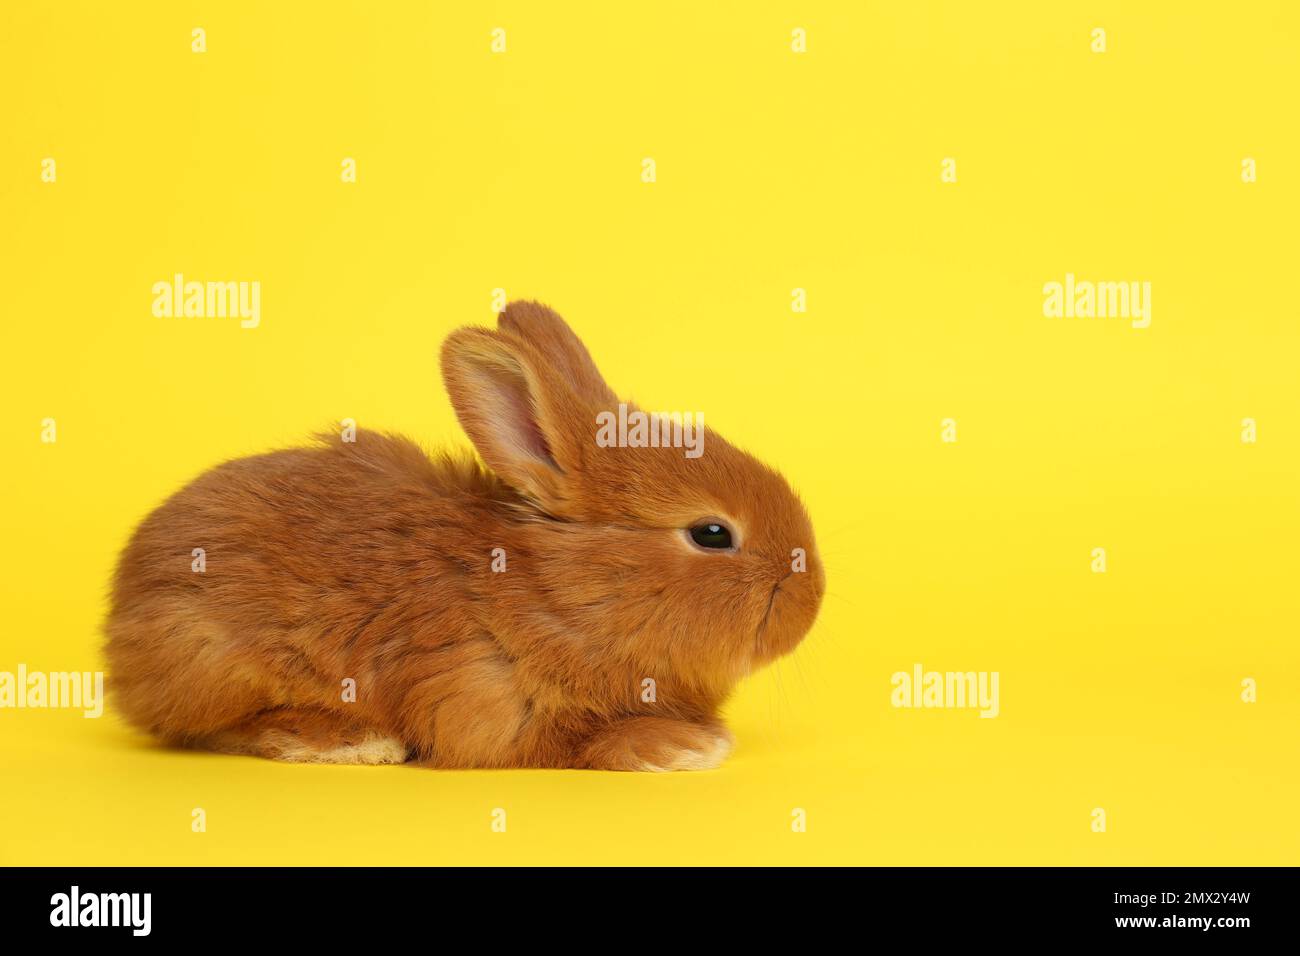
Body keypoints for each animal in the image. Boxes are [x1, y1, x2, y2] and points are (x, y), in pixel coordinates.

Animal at [104, 301, 825, 770]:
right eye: (712, 534)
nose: (812, 598)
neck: (560, 595)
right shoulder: (488, 704)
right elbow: (573, 741)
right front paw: (681, 746)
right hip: (213, 655)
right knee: (216, 730)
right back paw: (348, 741)